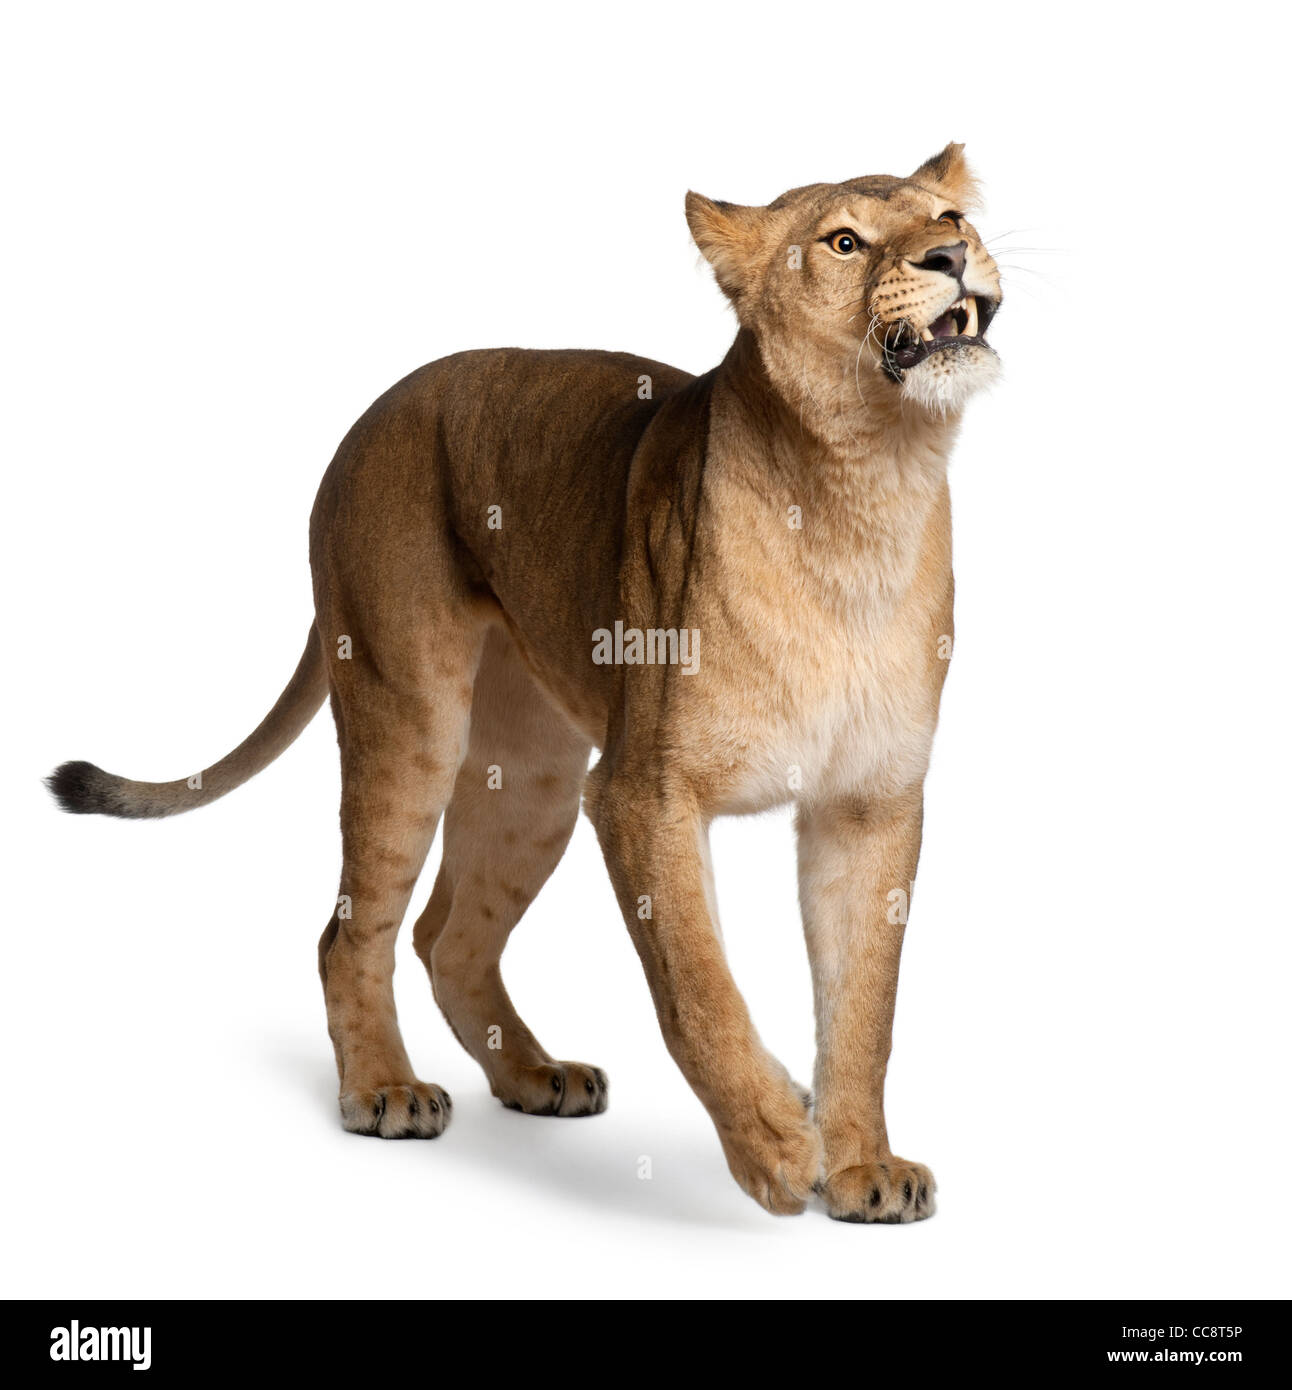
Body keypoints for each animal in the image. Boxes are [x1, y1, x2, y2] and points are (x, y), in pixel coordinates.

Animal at [50, 143, 1002, 1221]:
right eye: (842, 242)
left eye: (948, 217)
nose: (949, 255)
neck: (866, 488)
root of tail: (372, 411)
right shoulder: (643, 792)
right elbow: (697, 986)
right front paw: (769, 1143)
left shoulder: (869, 803)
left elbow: (864, 1008)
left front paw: (861, 1168)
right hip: (411, 720)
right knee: (352, 931)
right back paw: (384, 1089)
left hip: (535, 780)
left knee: (446, 936)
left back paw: (538, 1077)